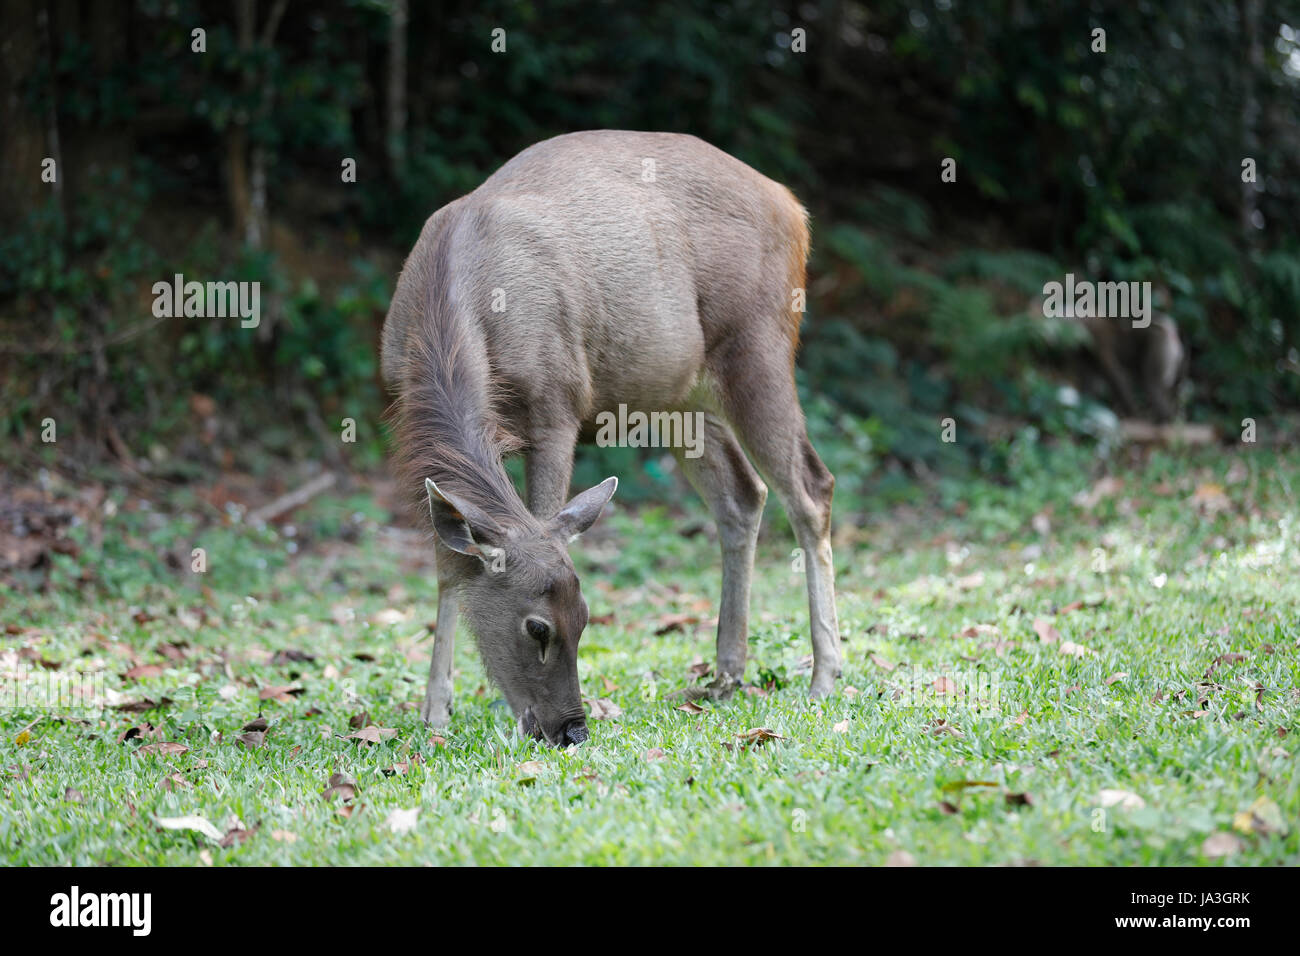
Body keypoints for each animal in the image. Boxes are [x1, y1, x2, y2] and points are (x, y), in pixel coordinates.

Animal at [381, 130, 840, 746]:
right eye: (538, 627)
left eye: (585, 621)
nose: (570, 729)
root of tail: (794, 207)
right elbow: (448, 566)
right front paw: (435, 712)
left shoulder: (558, 402)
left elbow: (542, 517)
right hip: (679, 392)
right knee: (743, 493)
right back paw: (725, 677)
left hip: (760, 342)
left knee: (811, 485)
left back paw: (825, 676)